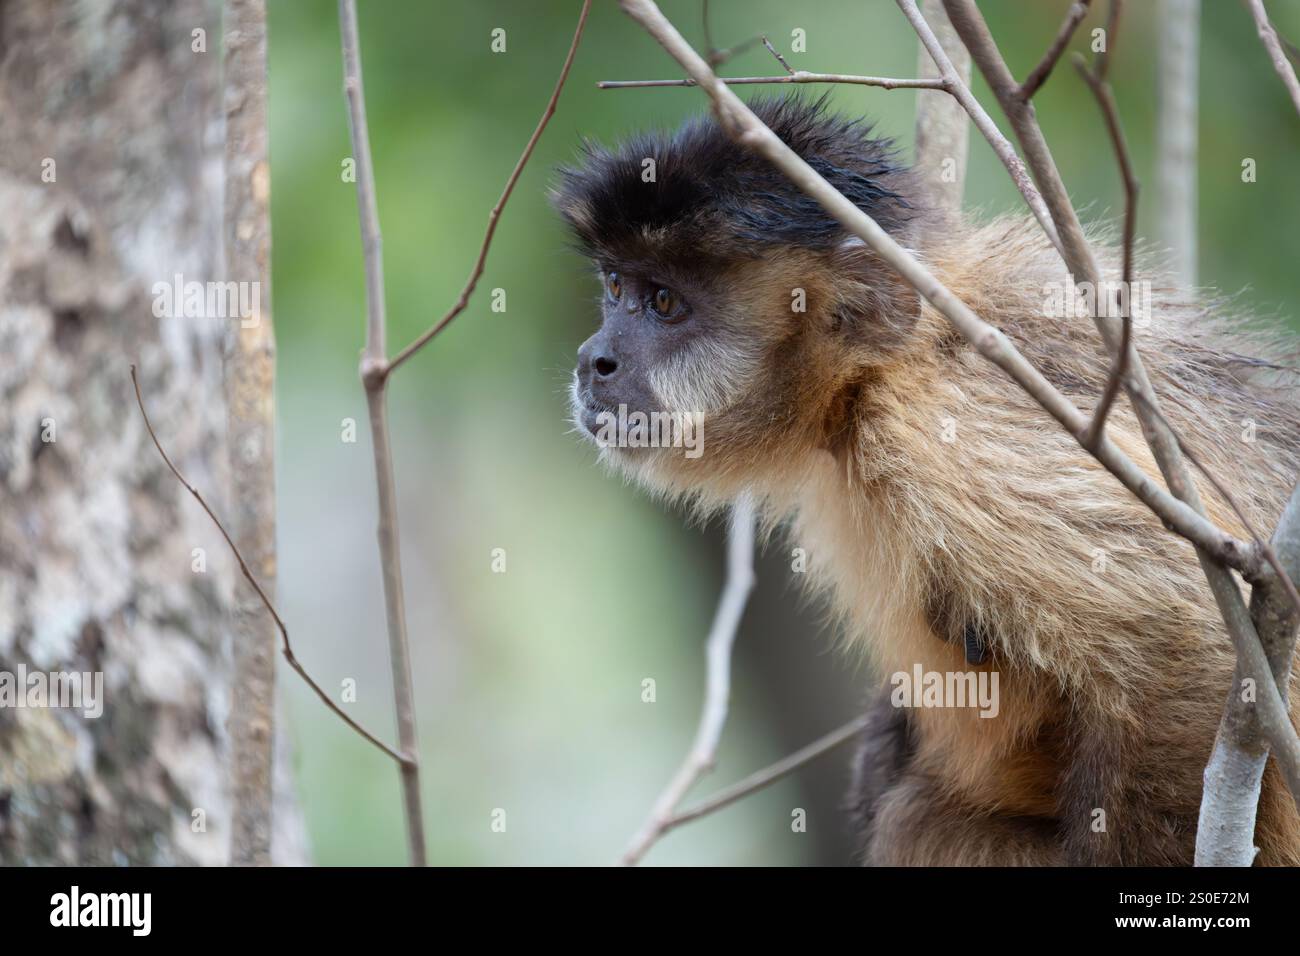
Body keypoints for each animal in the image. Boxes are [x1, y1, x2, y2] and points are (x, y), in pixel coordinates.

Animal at [552, 95, 1300, 866]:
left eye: (665, 303)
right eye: (616, 287)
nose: (594, 359)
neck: (877, 377)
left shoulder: (941, 431)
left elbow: (1192, 640)